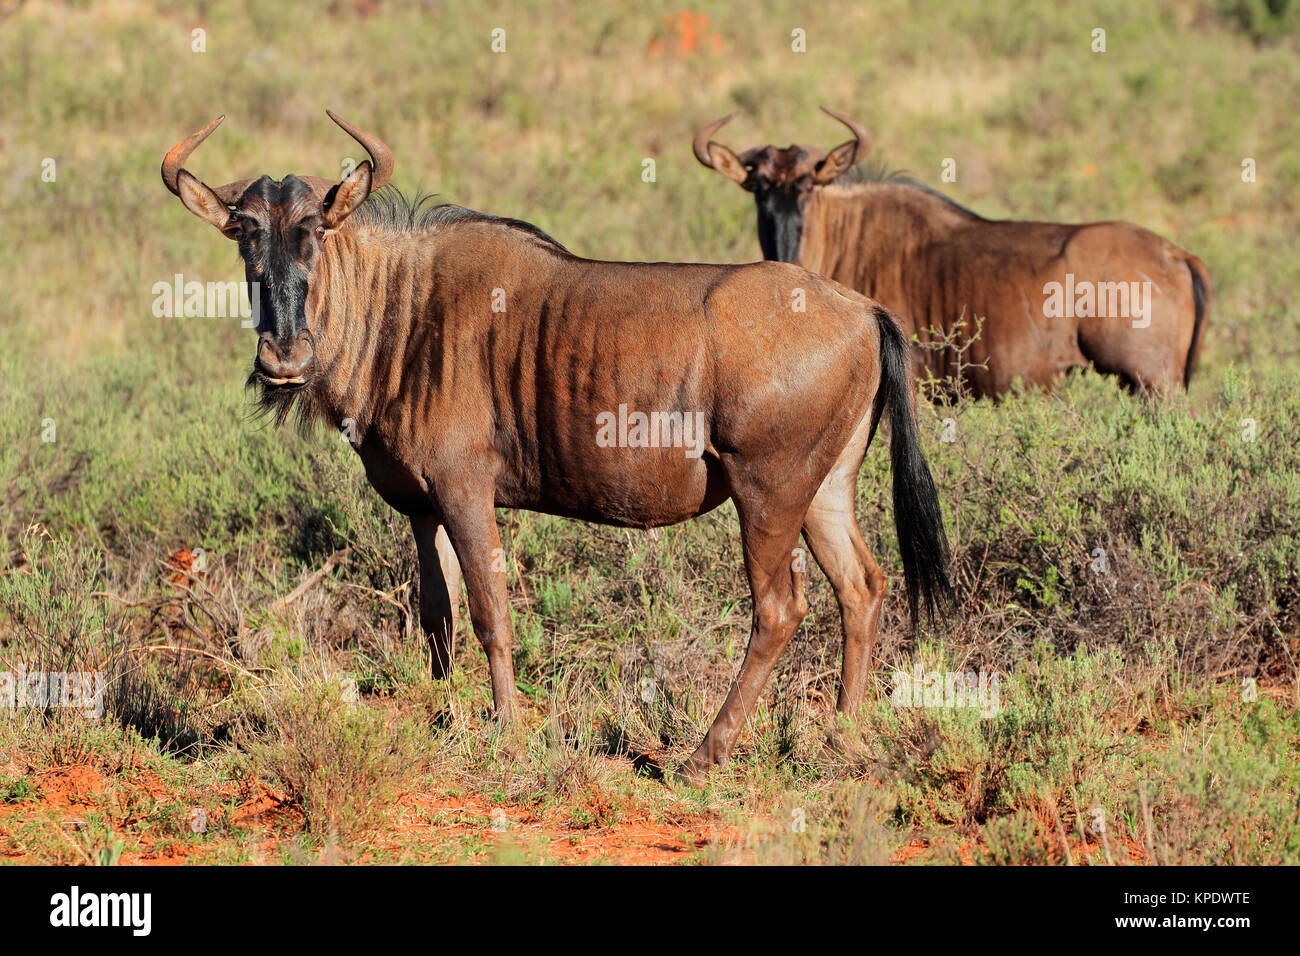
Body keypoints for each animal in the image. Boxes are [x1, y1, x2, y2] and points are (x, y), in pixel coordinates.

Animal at [162, 111, 952, 779]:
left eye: (316, 234)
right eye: (244, 238)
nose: (284, 359)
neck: (401, 312)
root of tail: (863, 309)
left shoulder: (466, 492)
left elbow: (490, 614)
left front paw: (507, 730)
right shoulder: (421, 506)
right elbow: (437, 617)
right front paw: (444, 719)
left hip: (769, 494)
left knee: (781, 610)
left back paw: (703, 755)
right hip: (825, 492)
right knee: (863, 586)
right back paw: (842, 737)